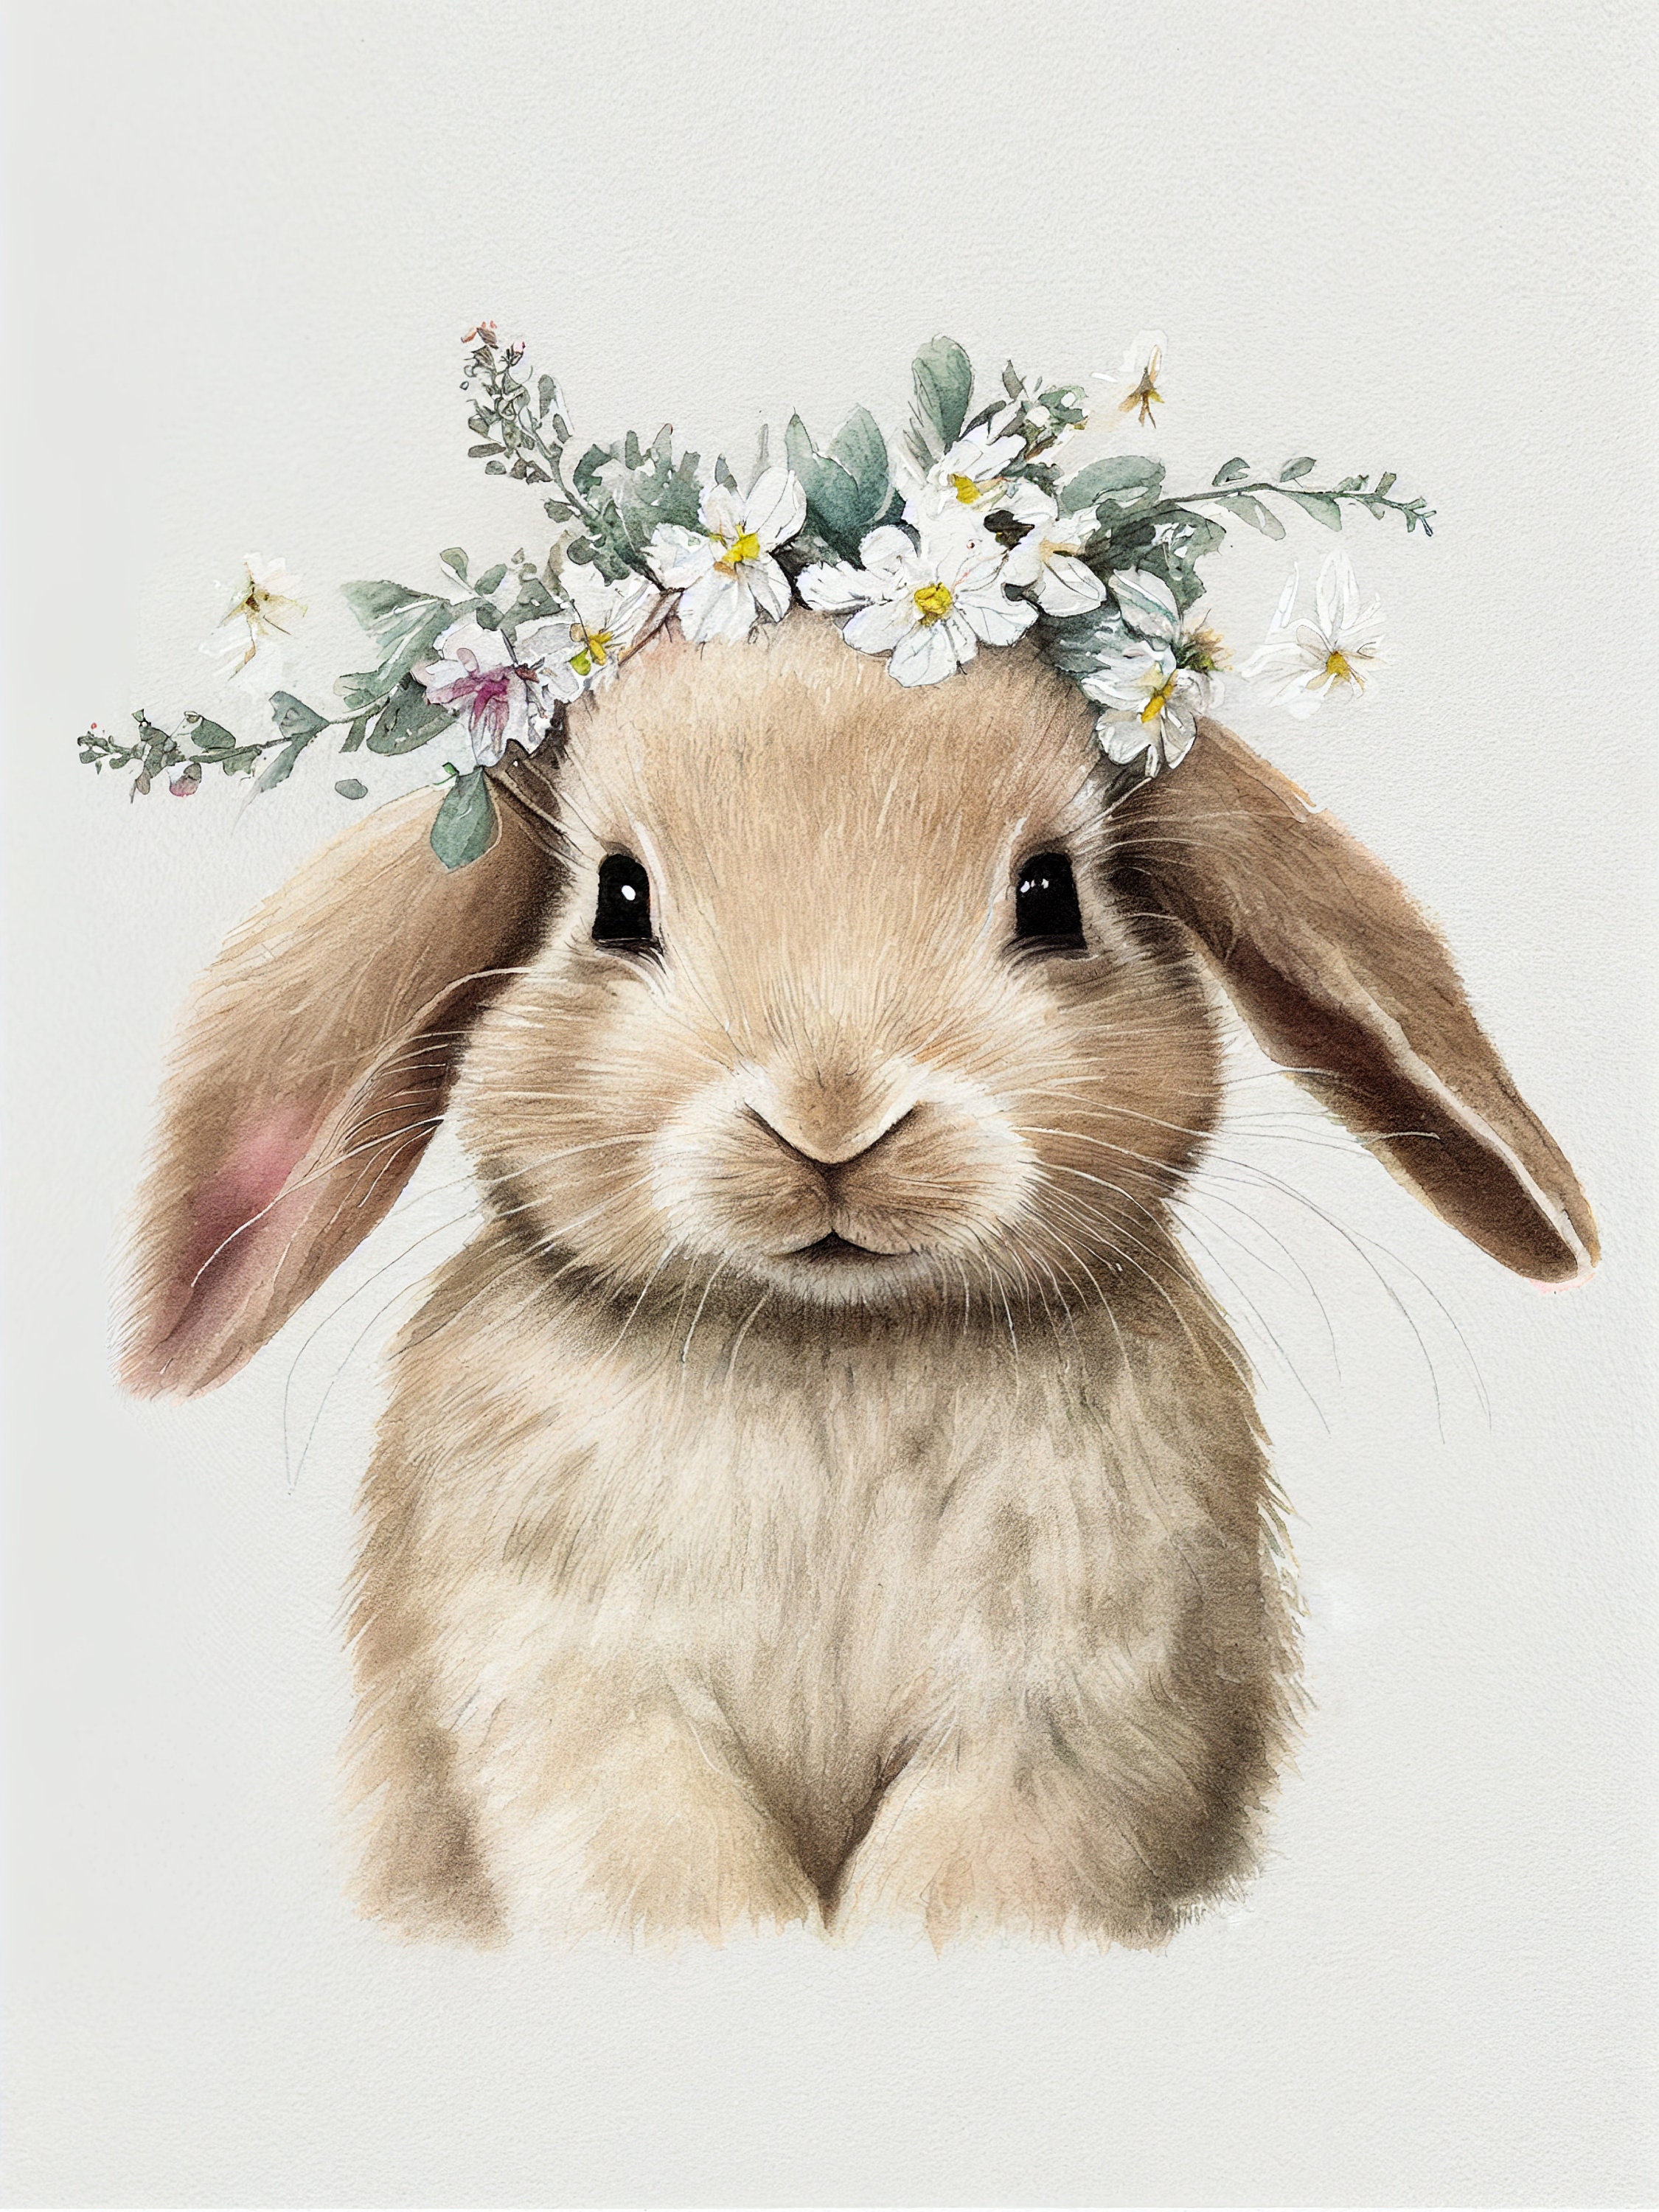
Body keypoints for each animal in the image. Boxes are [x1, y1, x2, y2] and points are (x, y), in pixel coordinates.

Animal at [117, 610, 1597, 1947]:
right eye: (618, 898)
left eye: (1051, 896)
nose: (832, 1118)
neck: (831, 1349)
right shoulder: (570, 1689)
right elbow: (668, 1872)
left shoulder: (1064, 1711)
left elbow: (968, 1884)